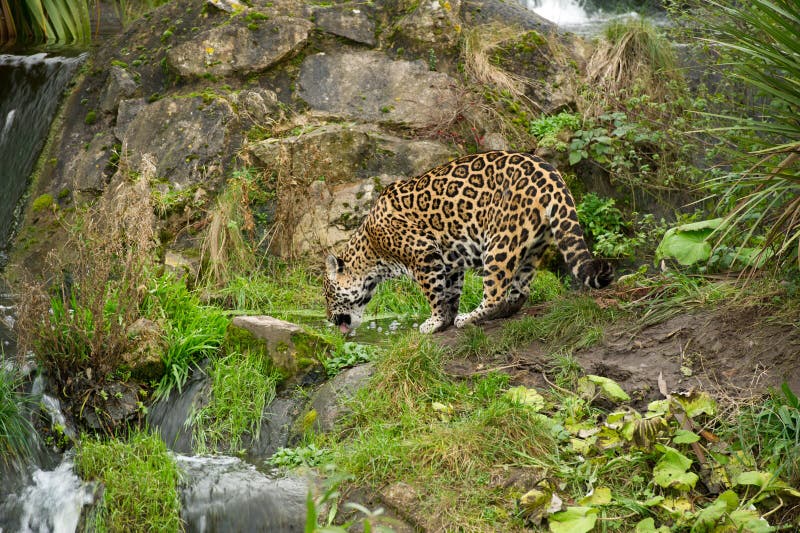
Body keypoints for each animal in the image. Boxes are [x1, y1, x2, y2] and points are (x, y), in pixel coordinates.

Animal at [323, 150, 614, 334]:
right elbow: (450, 292)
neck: (372, 252)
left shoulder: (424, 255)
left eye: (327, 295)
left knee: (495, 294)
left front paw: (435, 322)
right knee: (520, 292)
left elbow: (434, 294)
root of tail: (553, 176)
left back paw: (469, 318)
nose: (328, 319)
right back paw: (499, 312)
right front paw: (446, 319)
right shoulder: (449, 262)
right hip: (533, 246)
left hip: (500, 242)